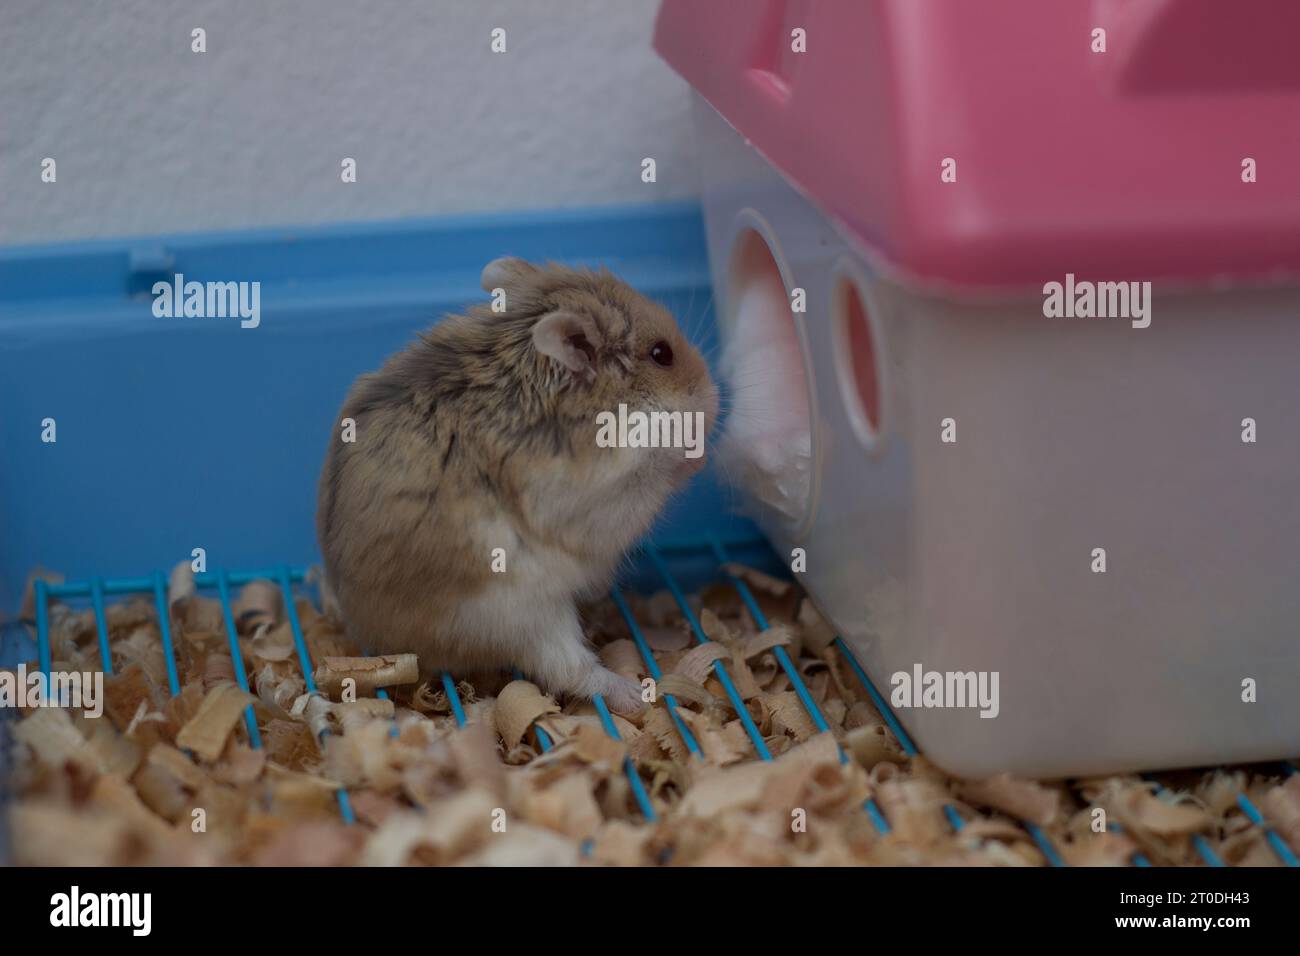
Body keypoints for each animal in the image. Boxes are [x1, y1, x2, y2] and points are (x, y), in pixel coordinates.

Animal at [317, 258, 718, 714]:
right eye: (662, 354)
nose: (716, 393)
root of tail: (375, 639)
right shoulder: (592, 500)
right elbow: (654, 480)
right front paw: (699, 452)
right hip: (523, 617)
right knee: (571, 671)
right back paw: (634, 696)